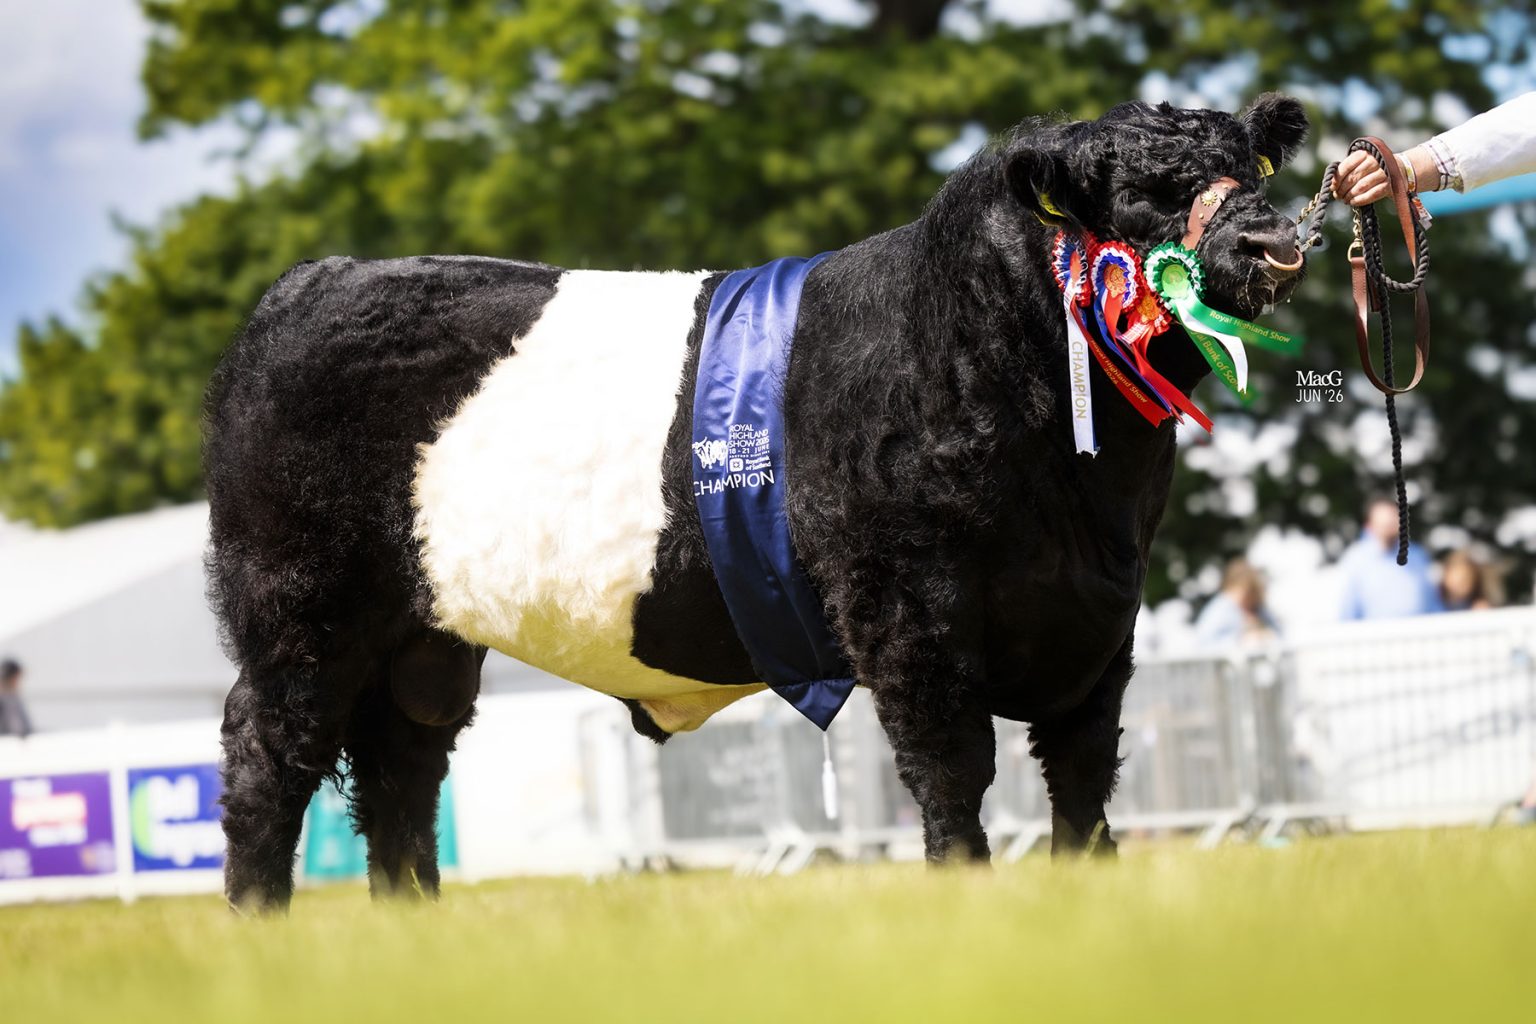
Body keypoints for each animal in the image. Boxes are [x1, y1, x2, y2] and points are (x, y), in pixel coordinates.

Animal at [204, 95, 1309, 912]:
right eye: (1144, 194)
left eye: (1251, 172)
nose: (1272, 242)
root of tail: (314, 279)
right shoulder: (906, 609)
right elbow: (952, 768)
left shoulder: (1100, 617)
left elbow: (1081, 781)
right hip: (301, 608)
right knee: (269, 755)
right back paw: (265, 928)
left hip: (422, 643)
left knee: (400, 775)